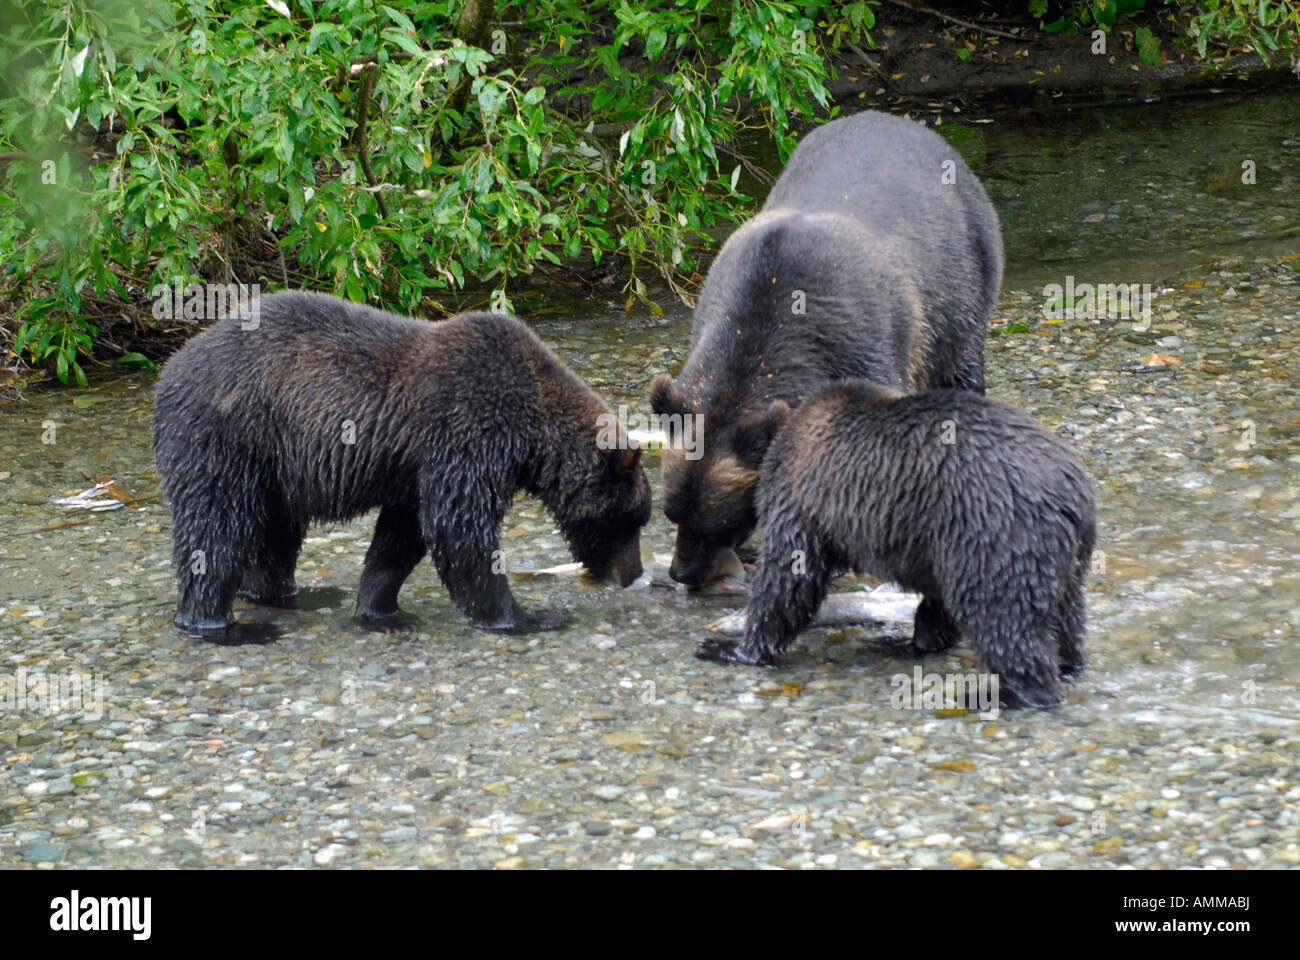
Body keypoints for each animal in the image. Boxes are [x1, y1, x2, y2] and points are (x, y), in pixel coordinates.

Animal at [153, 290, 651, 637]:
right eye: (632, 519)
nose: (635, 575)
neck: (531, 429)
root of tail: (170, 369)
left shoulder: (416, 468)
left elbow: (400, 538)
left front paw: (380, 608)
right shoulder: (467, 431)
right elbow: (460, 531)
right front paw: (527, 615)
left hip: (273, 470)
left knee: (274, 538)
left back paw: (284, 596)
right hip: (227, 441)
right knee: (215, 533)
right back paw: (219, 623)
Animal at [650, 110, 1003, 587]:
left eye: (719, 524)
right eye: (672, 512)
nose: (682, 572)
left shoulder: (860, 346)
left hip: (961, 280)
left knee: (960, 370)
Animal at [695, 381, 1095, 709]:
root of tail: (1070, 493)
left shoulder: (805, 497)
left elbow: (789, 579)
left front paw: (732, 649)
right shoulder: (940, 537)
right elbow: (937, 601)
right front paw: (919, 638)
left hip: (999, 533)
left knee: (1006, 621)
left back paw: (1005, 694)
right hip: (1065, 558)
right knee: (1066, 615)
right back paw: (1068, 662)